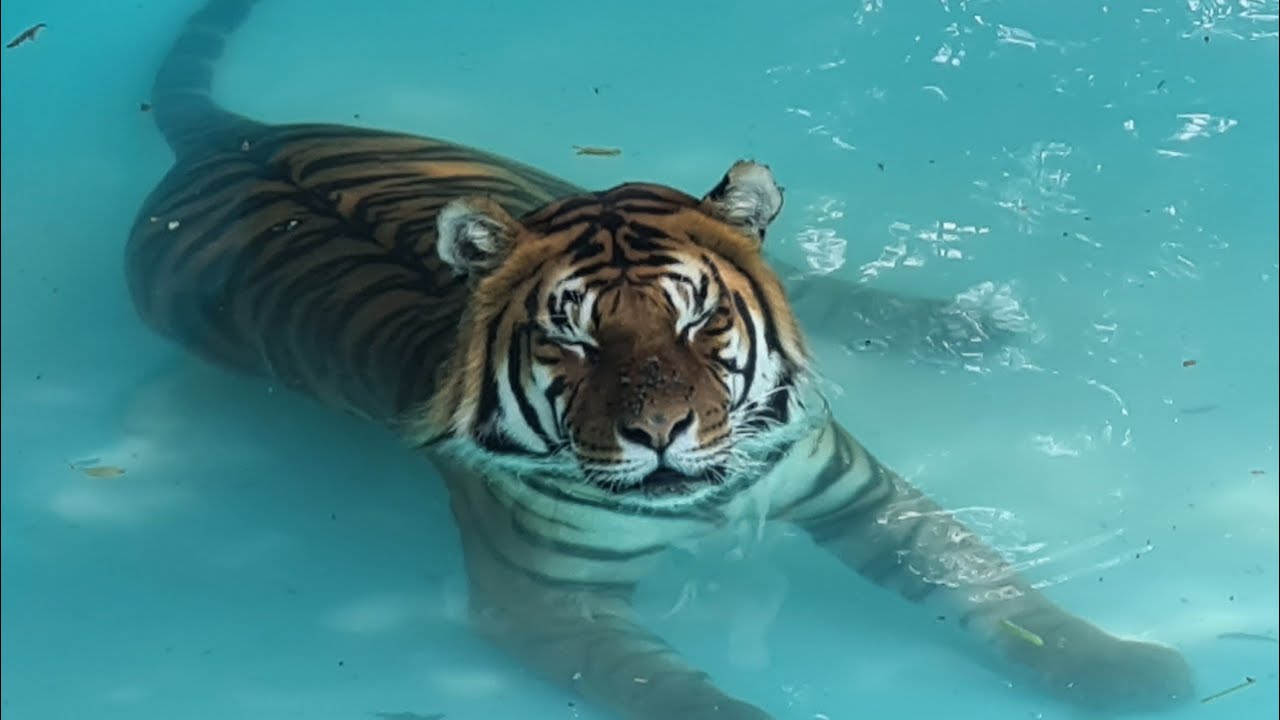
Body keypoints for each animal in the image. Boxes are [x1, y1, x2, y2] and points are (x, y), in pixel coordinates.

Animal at [125, 1, 1195, 718]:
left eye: (699, 323)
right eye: (572, 338)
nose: (662, 434)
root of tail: (229, 135)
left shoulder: (863, 494)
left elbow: (990, 587)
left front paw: (1125, 669)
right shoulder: (547, 606)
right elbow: (685, 699)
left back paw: (968, 330)